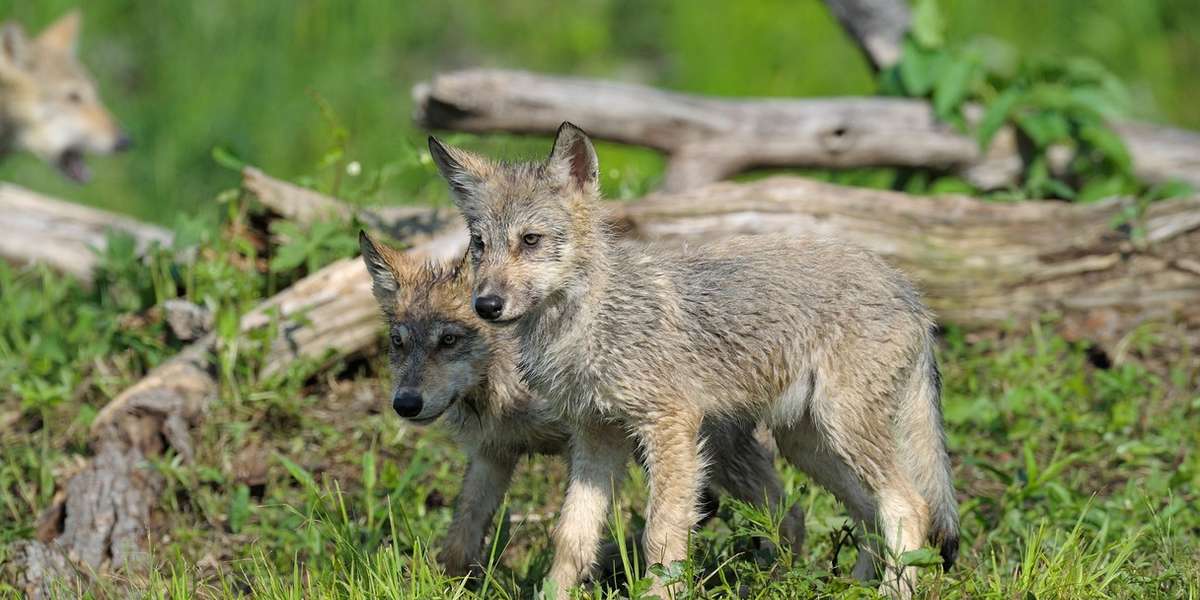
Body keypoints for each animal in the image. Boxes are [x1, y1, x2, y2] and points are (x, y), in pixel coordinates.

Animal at [358, 232, 805, 580]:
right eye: (398, 343)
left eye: (449, 340)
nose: (405, 404)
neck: (501, 387)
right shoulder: (493, 454)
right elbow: (460, 539)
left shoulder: (593, 440)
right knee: (787, 512)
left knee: (756, 509)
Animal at [429, 123, 959, 599]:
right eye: (479, 243)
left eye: (531, 240)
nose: (486, 305)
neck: (586, 324)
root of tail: (908, 289)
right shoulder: (596, 437)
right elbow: (571, 539)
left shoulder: (670, 427)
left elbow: (661, 538)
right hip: (810, 444)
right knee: (869, 514)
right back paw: (854, 588)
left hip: (840, 430)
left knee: (909, 508)